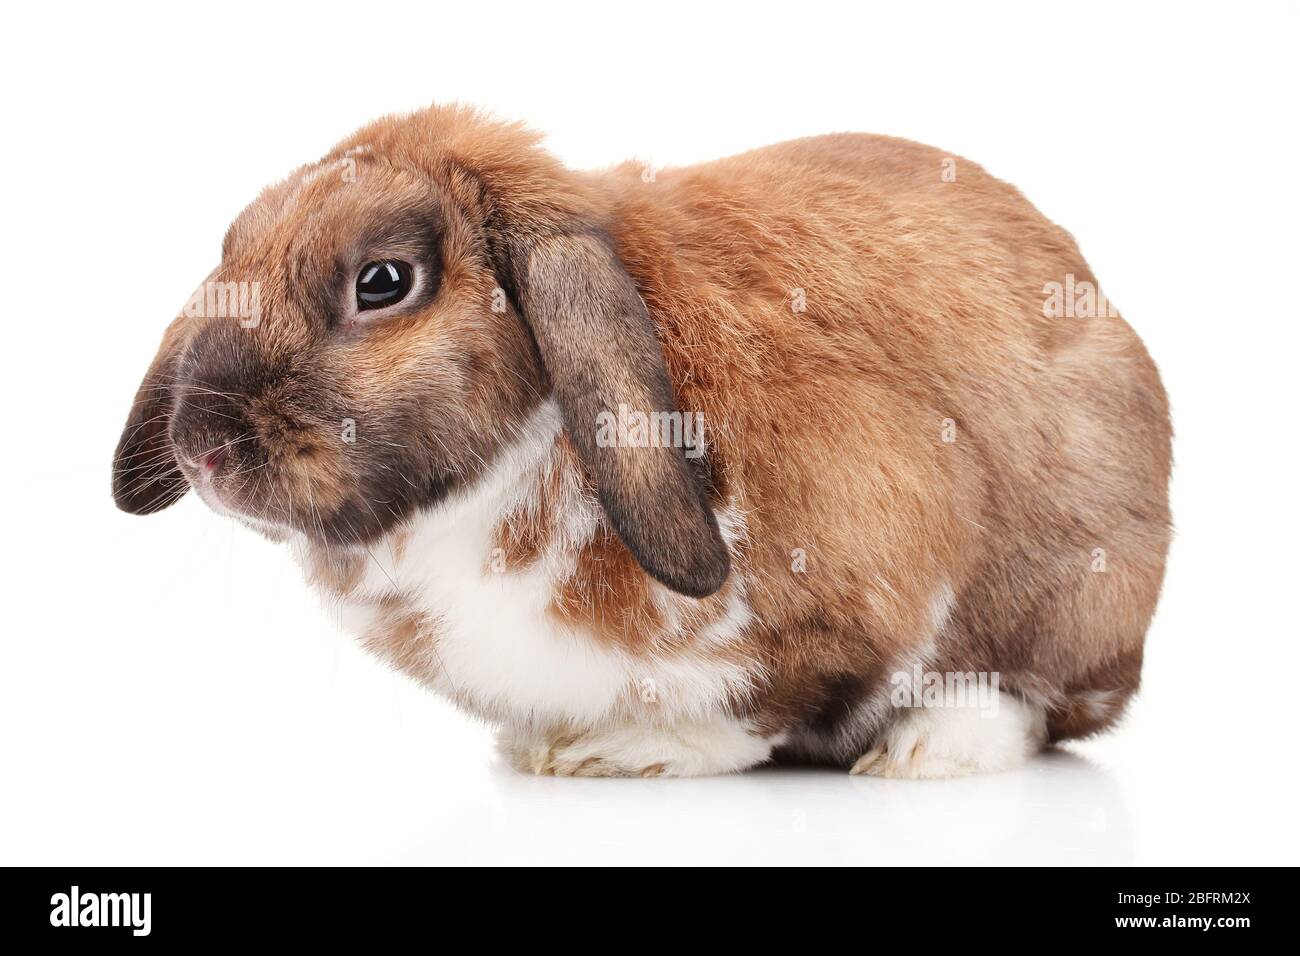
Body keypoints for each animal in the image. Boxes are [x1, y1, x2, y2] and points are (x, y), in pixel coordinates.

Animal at [112, 104, 1171, 778]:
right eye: (233, 251)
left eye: (382, 281)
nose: (201, 445)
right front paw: (536, 750)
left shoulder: (866, 569)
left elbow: (761, 710)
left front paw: (621, 752)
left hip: (1077, 597)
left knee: (1041, 701)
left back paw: (926, 752)